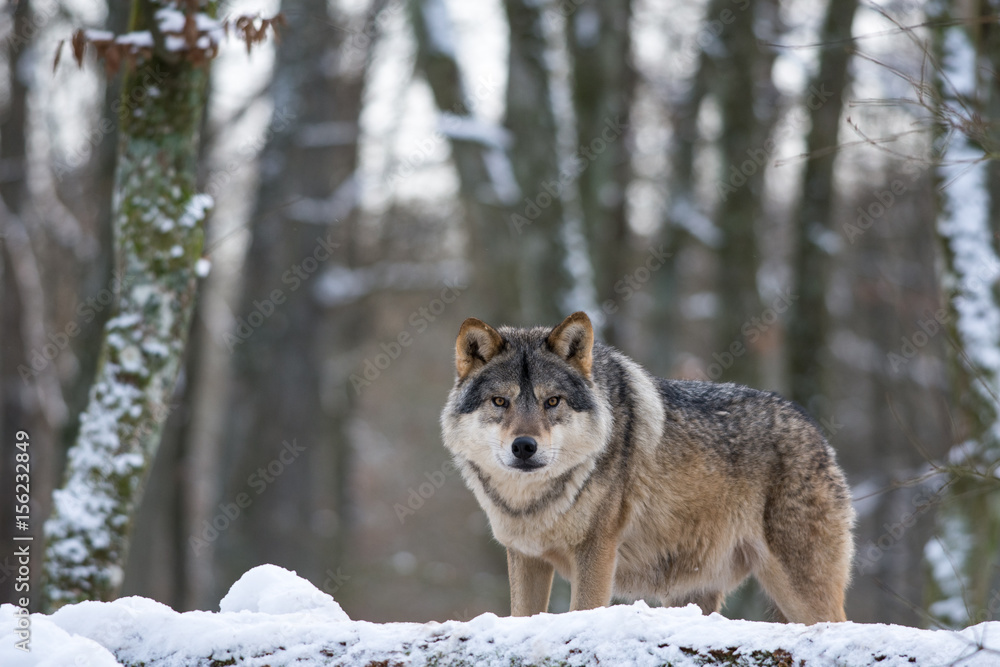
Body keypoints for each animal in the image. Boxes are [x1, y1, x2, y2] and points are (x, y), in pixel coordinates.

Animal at [440, 312, 855, 624]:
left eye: (552, 401)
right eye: (500, 401)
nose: (525, 447)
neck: (532, 500)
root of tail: (814, 430)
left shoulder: (597, 551)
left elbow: (583, 609)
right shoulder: (526, 557)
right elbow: (522, 616)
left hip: (801, 592)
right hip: (693, 593)